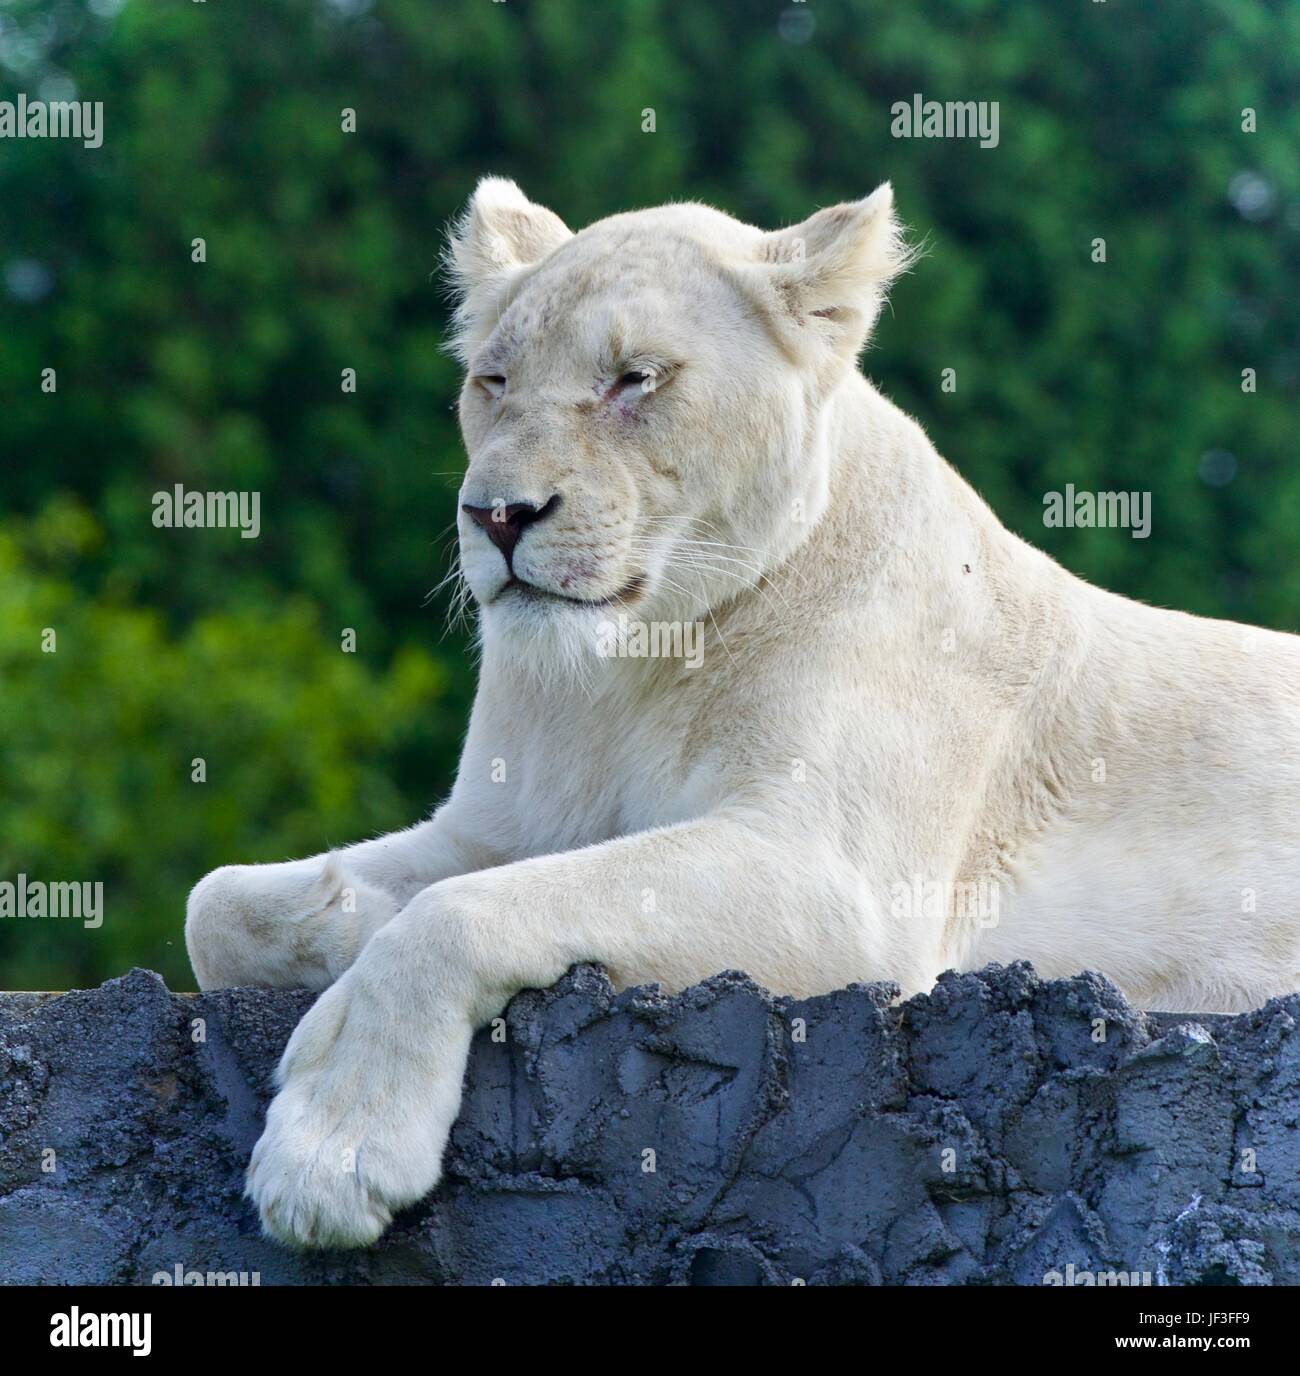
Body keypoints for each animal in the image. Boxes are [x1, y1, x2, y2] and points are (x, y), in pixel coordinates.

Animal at [186, 178, 1300, 1247]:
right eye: (493, 381)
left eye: (635, 378)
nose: (497, 515)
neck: (632, 673)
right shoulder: (498, 824)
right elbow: (221, 902)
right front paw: (344, 936)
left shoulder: (841, 886)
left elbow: (455, 914)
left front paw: (333, 1150)